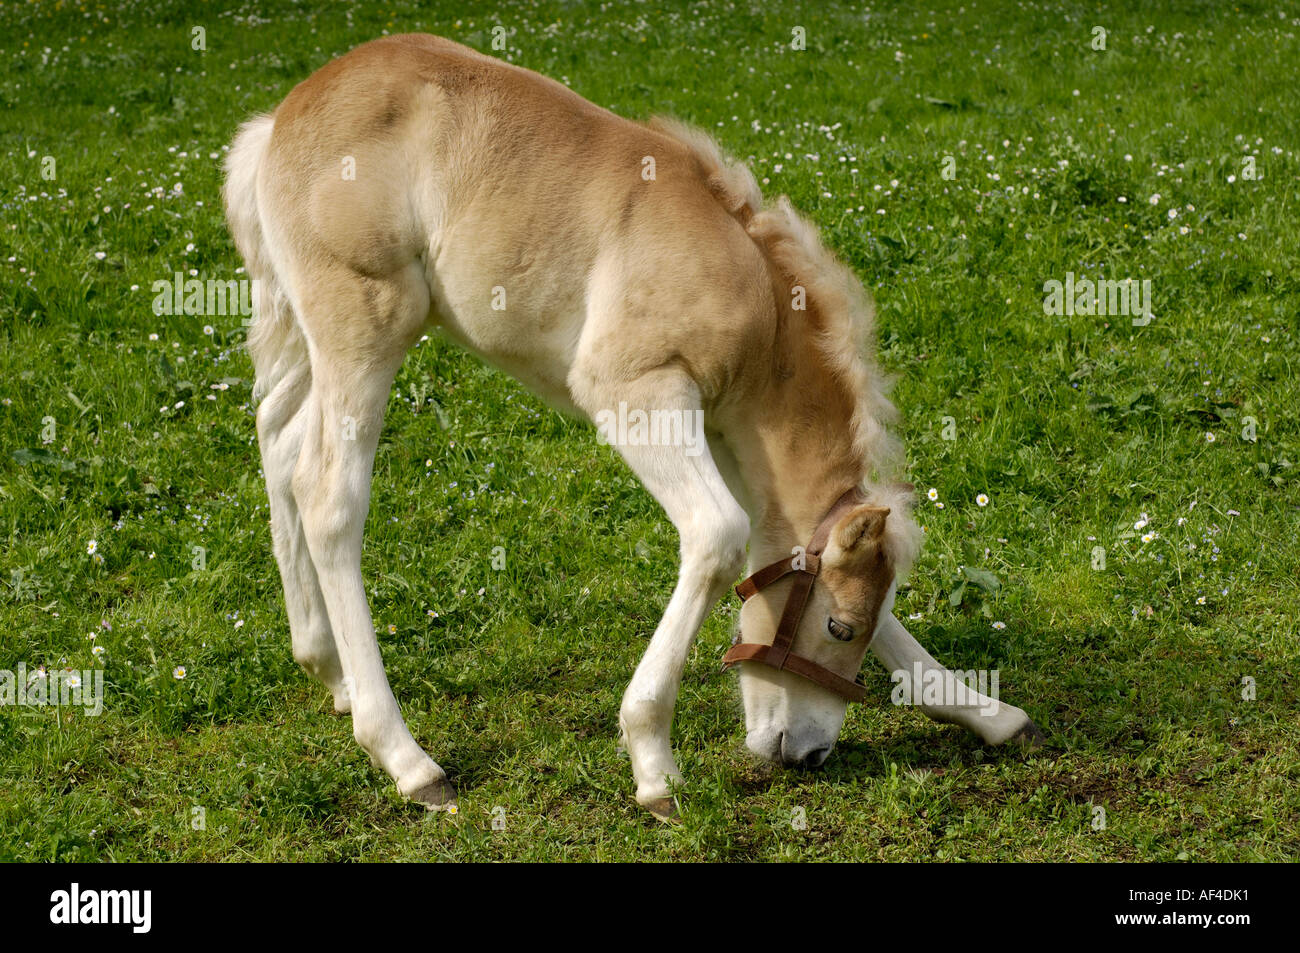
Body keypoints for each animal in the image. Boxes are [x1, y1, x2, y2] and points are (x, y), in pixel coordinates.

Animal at [223, 33, 1043, 820]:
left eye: (865, 628)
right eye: (839, 627)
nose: (807, 754)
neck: (759, 309)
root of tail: (277, 121)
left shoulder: (726, 432)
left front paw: (986, 711)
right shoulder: (637, 393)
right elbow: (717, 536)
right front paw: (653, 762)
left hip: (306, 332)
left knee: (279, 444)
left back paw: (328, 669)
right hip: (365, 325)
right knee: (328, 497)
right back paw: (407, 758)